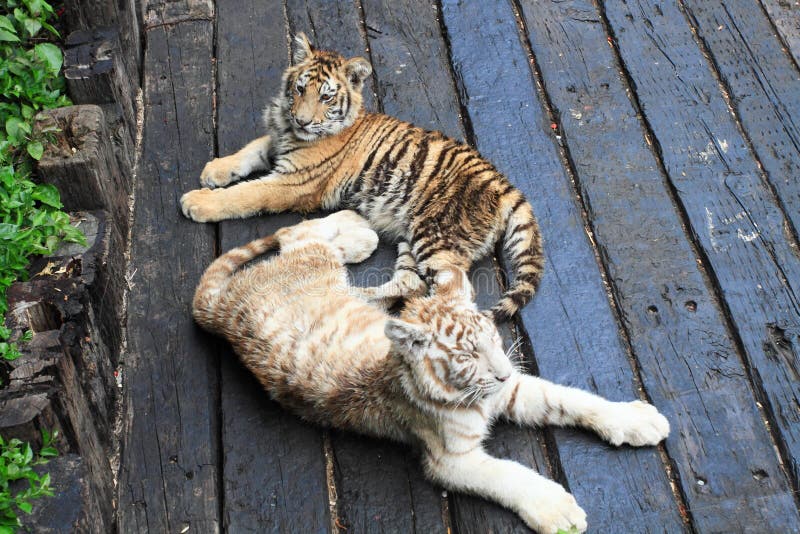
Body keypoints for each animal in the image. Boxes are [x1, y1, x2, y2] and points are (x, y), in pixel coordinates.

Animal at [181, 32, 544, 321]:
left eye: (326, 96)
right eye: (300, 89)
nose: (302, 120)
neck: (289, 129)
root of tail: (505, 185)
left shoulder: (295, 180)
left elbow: (245, 193)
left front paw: (197, 202)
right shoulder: (276, 143)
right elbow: (248, 151)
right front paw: (213, 170)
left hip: (436, 234)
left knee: (455, 288)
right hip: (414, 241)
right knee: (411, 284)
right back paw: (358, 298)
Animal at [192, 210, 670, 534]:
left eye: (493, 338)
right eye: (467, 356)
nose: (501, 374)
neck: (471, 391)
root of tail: (220, 308)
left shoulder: (514, 390)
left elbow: (573, 399)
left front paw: (636, 419)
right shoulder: (451, 459)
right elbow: (509, 475)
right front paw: (558, 510)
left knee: (298, 234)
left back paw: (359, 229)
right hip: (310, 265)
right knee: (296, 233)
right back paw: (360, 229)